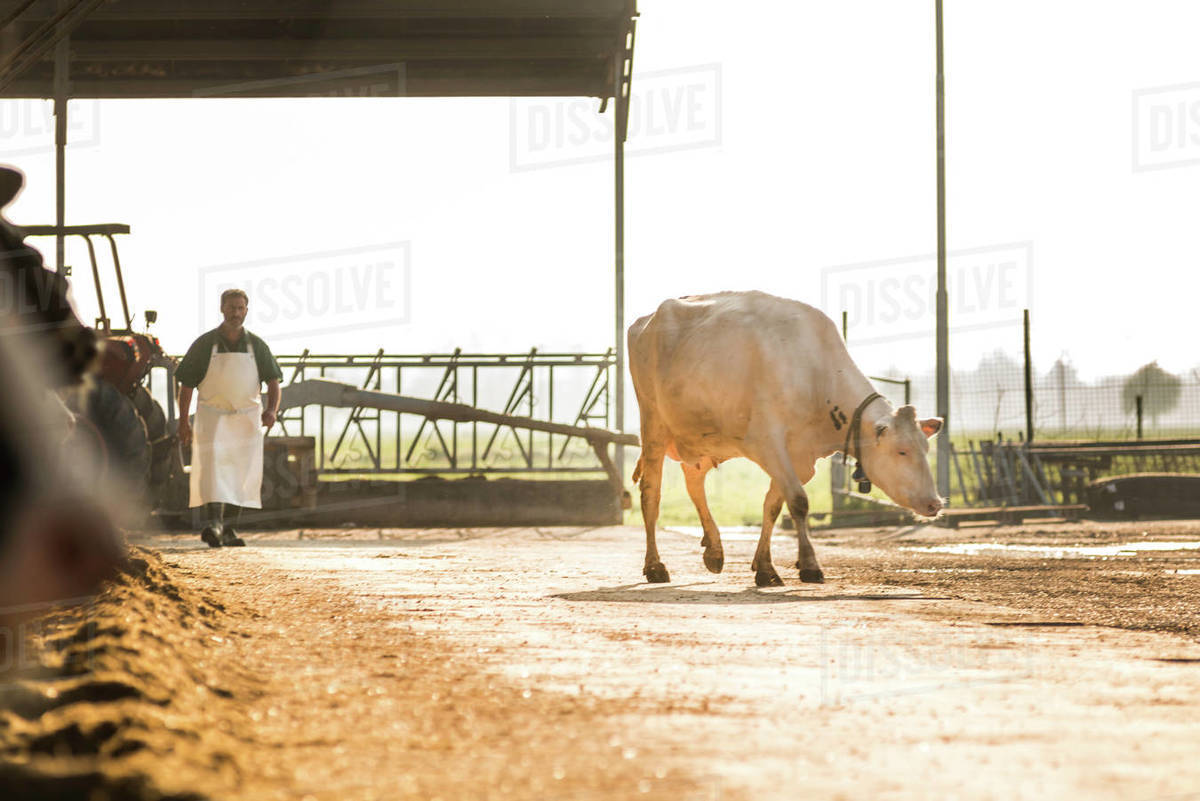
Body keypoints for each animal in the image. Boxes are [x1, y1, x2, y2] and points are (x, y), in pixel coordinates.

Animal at [628, 291, 943, 587]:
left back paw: (714, 550)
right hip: (653, 425)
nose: (935, 503)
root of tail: (645, 321)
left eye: (925, 448)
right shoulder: (767, 444)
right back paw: (655, 566)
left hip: (705, 437)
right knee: (651, 494)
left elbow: (773, 505)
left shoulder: (802, 457)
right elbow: (798, 501)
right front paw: (809, 565)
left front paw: (765, 568)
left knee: (694, 481)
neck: (814, 374)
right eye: (901, 451)